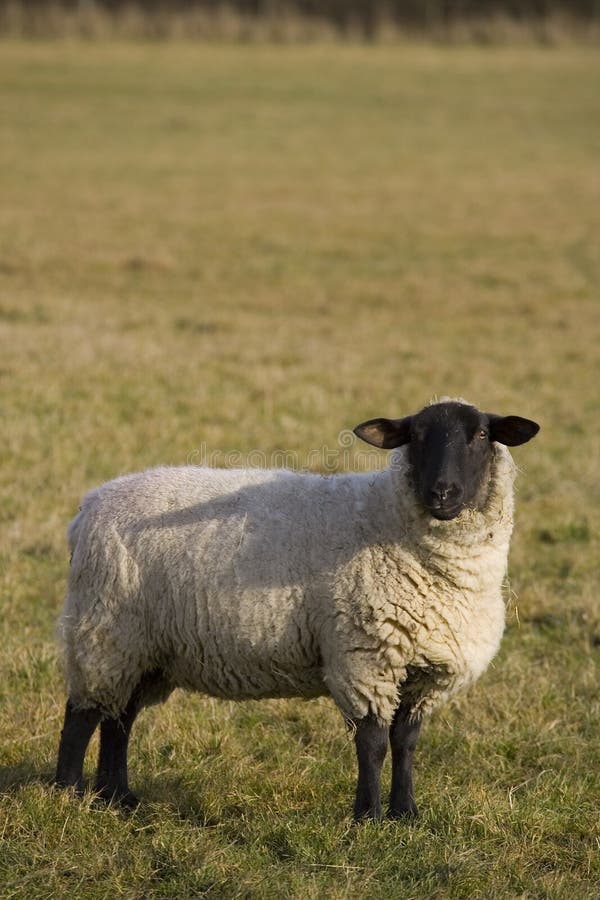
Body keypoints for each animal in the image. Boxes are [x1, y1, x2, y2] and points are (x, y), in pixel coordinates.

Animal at [55, 398, 539, 820]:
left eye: (481, 434)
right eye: (415, 436)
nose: (442, 493)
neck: (388, 518)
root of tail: (89, 506)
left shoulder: (425, 672)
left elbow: (406, 743)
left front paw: (407, 814)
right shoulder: (364, 660)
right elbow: (373, 744)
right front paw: (369, 817)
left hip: (145, 648)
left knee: (118, 719)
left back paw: (118, 797)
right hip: (104, 630)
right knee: (81, 716)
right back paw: (67, 794)